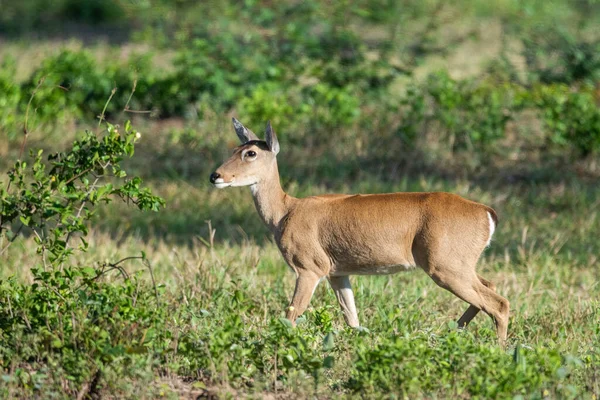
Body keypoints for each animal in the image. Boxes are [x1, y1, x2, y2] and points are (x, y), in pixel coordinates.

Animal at [209, 118, 508, 344]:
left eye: (250, 153)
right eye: (235, 148)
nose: (216, 175)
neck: (284, 212)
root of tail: (487, 213)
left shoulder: (310, 266)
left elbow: (292, 313)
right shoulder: (337, 272)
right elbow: (352, 319)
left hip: (444, 264)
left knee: (499, 304)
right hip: (458, 263)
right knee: (489, 289)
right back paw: (449, 334)